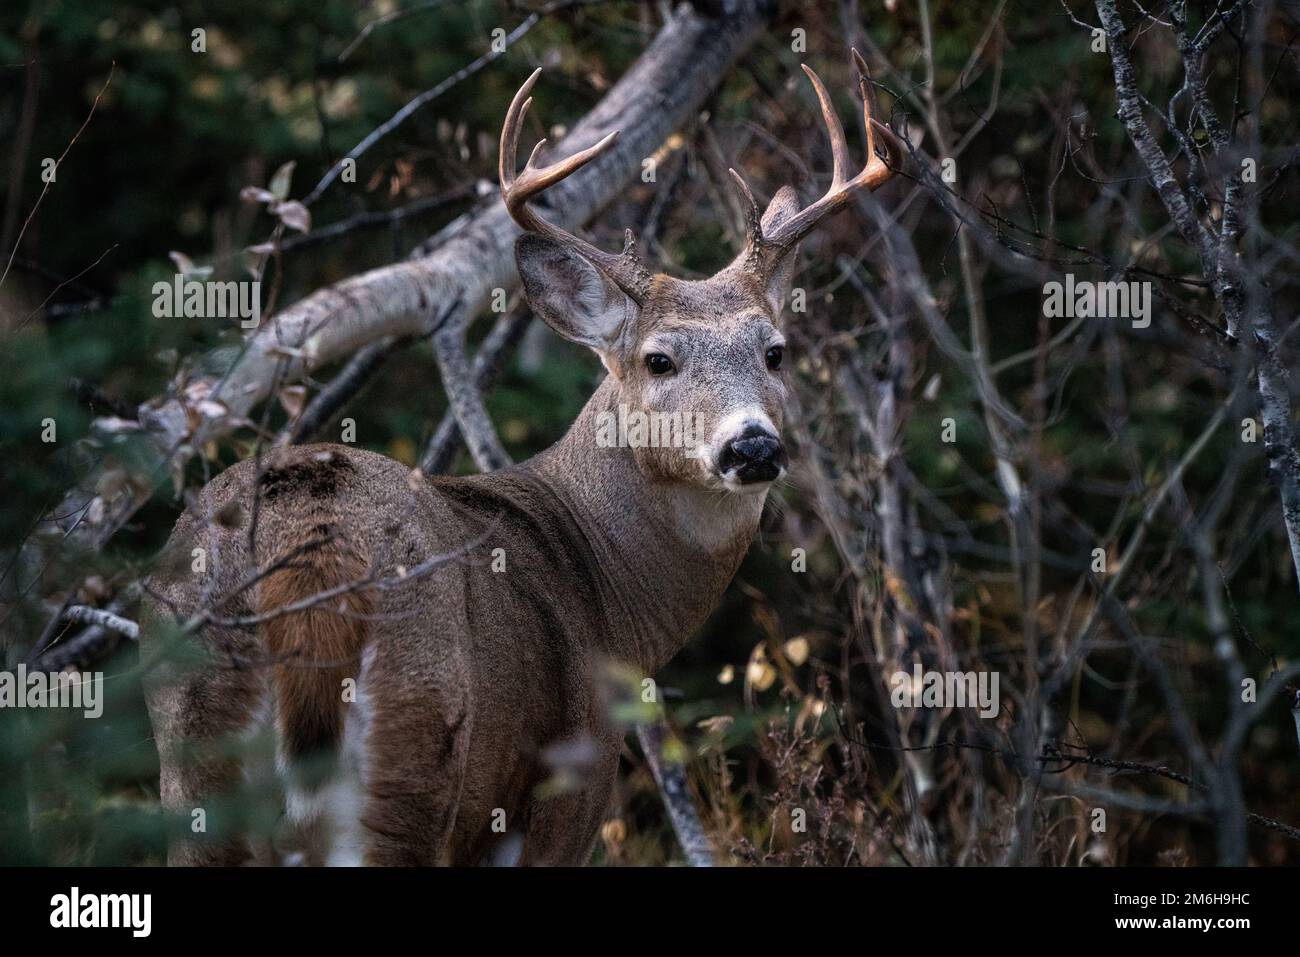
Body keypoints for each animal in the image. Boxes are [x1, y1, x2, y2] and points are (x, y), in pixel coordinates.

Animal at [140, 50, 899, 866]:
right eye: (659, 359)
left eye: (775, 351)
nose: (752, 445)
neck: (604, 588)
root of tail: (311, 549)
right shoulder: (571, 783)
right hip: (418, 738)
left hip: (194, 754)